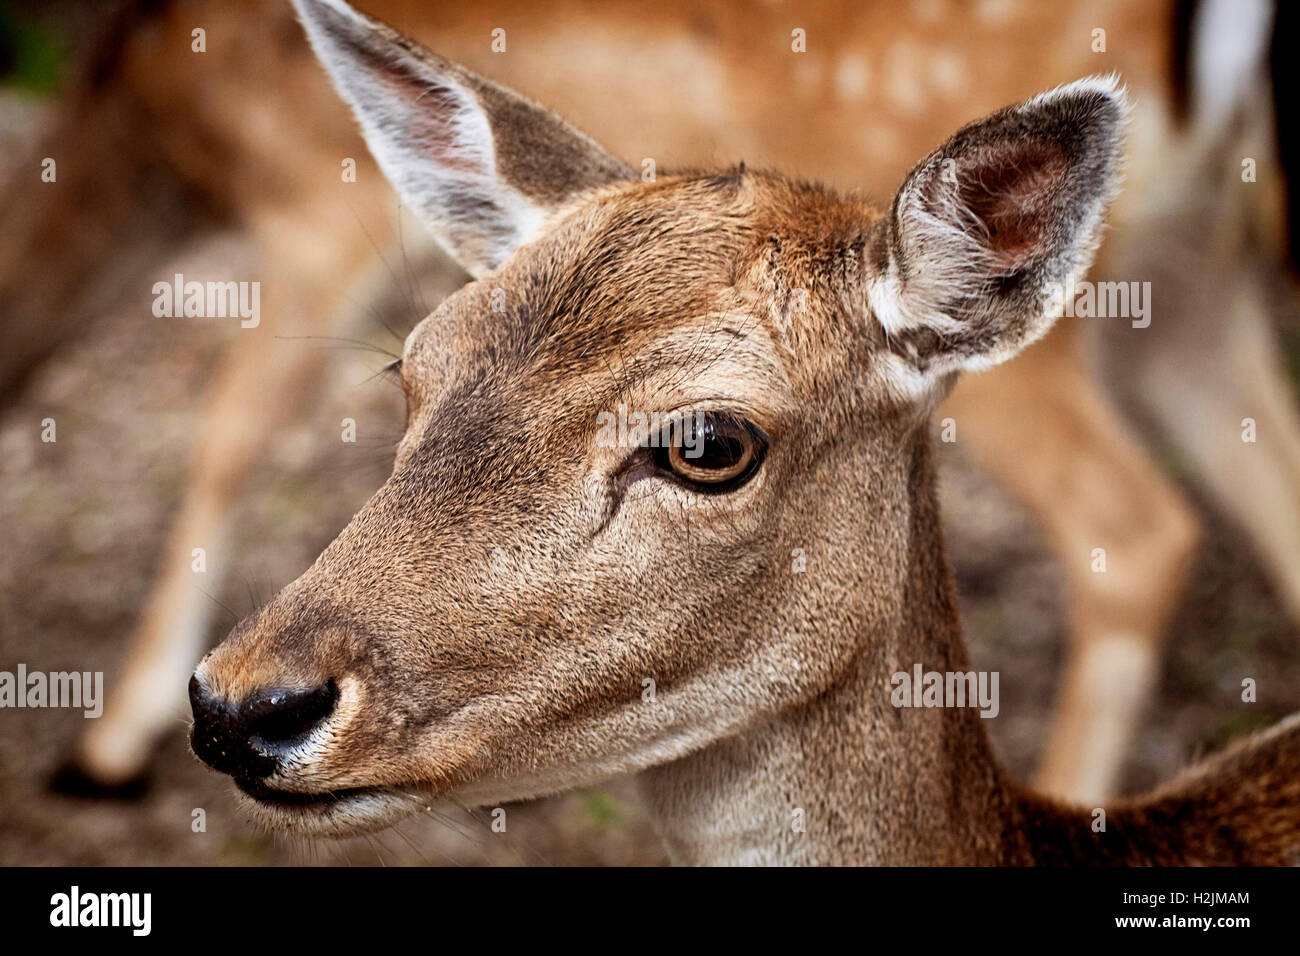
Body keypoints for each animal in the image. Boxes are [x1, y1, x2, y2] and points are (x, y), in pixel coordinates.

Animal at [18, 0, 1299, 809]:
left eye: (707, 442)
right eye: (412, 370)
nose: (245, 704)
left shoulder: (306, 205)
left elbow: (226, 432)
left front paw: (103, 745)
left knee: (1132, 522)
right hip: (1196, 273)